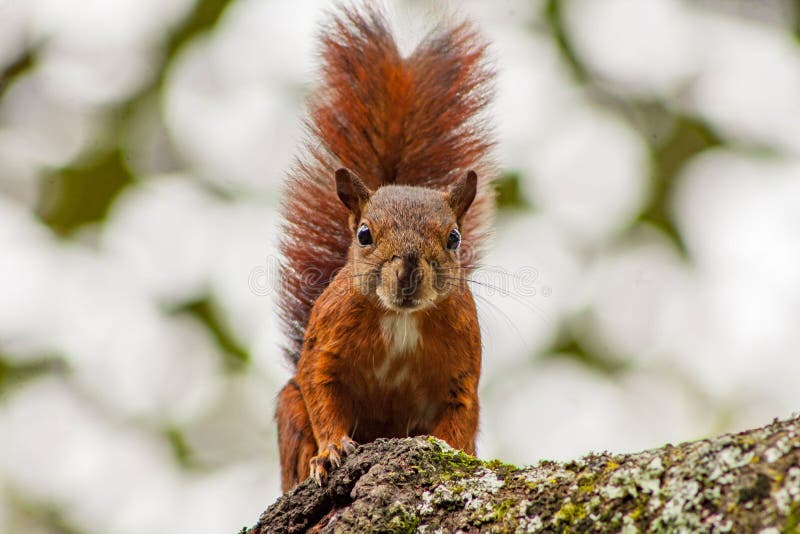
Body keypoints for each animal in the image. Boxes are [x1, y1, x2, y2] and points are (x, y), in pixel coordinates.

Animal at [275, 4, 496, 491]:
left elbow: (459, 414)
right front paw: (331, 452)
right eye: (364, 235)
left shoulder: (461, 373)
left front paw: (449, 451)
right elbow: (321, 392)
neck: (401, 320)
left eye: (454, 238)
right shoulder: (325, 349)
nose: (409, 272)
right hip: (289, 410)